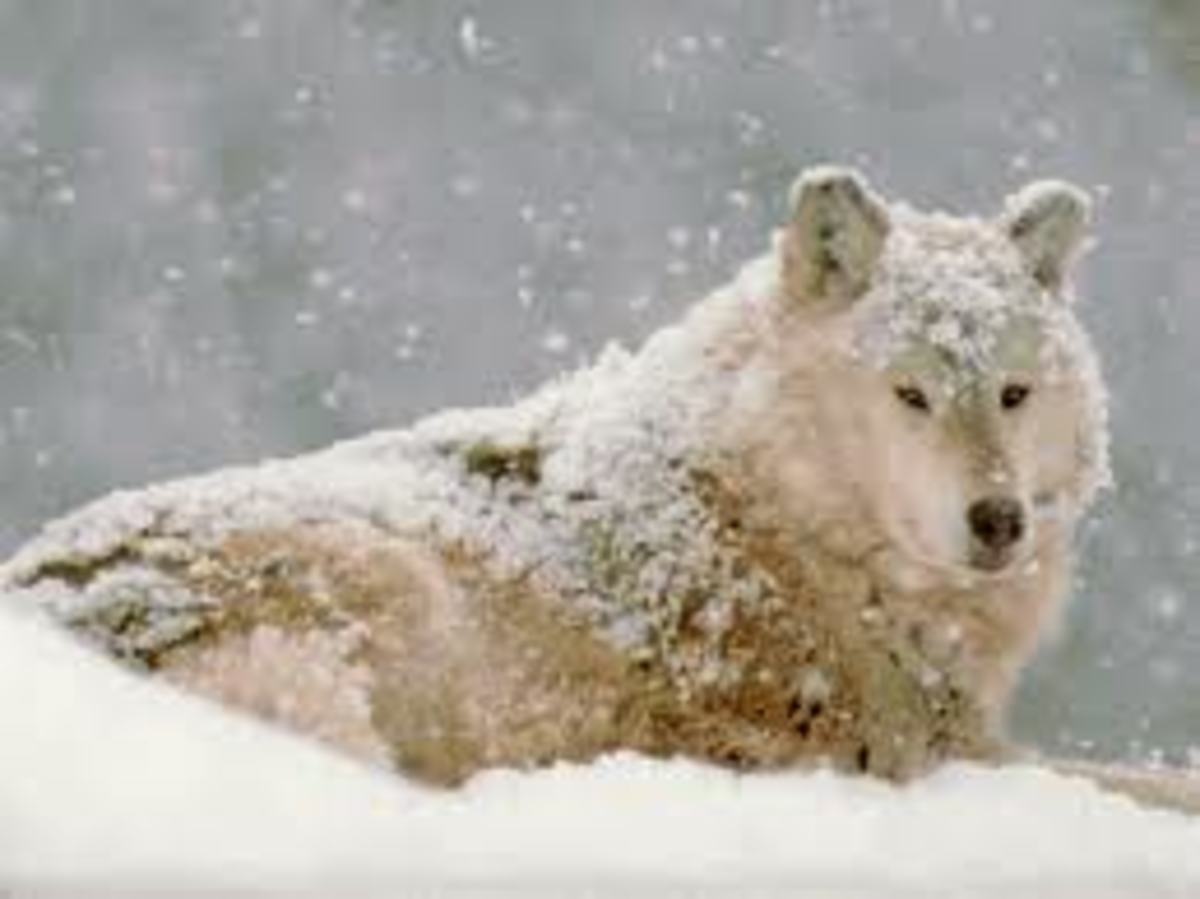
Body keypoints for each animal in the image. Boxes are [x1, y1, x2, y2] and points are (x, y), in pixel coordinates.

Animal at [3, 167, 1196, 810]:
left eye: (1012, 393)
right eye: (910, 394)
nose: (998, 520)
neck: (786, 520)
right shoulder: (927, 754)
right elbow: (1147, 779)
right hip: (380, 577)